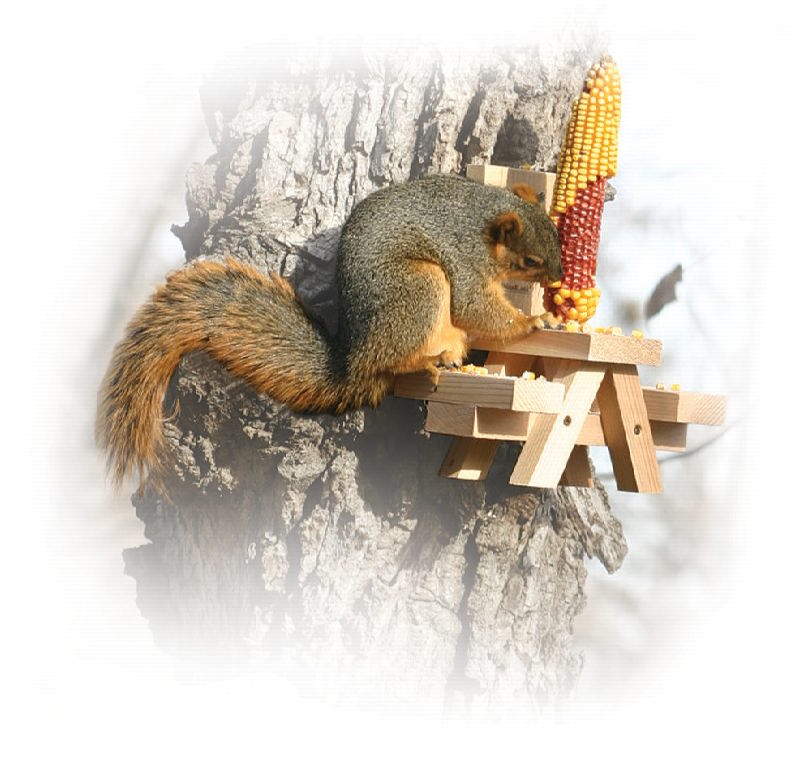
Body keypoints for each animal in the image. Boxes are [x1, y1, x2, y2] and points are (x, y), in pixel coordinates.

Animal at [97, 173, 562, 487]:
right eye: (531, 260)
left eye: (557, 236)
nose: (559, 278)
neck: (481, 219)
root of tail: (355, 363)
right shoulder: (464, 262)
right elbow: (475, 307)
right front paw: (532, 321)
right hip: (419, 285)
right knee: (398, 359)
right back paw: (427, 361)